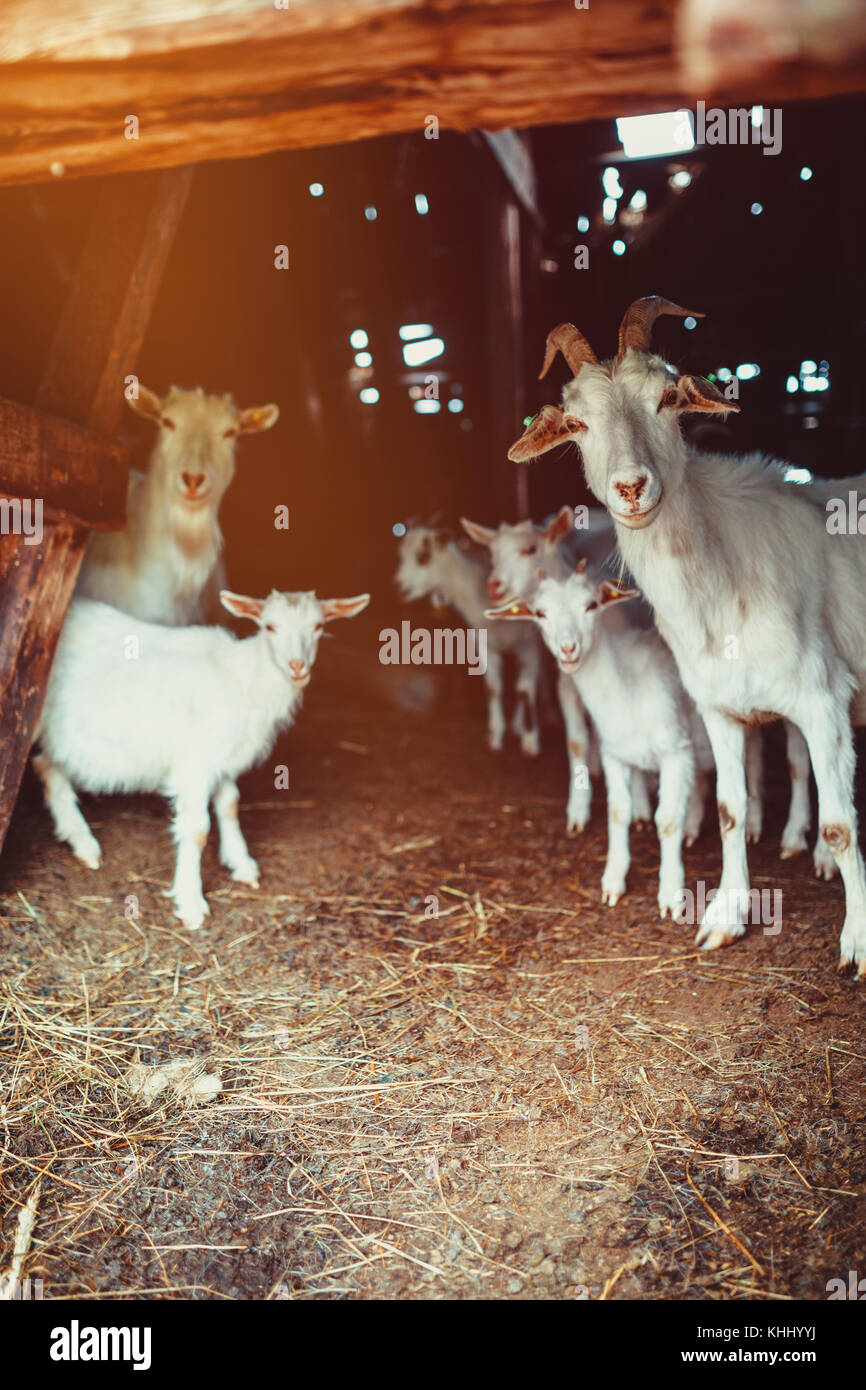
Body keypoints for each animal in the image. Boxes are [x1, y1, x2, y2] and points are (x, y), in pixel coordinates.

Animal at [34, 589, 369, 930]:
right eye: (270, 627)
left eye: (318, 626)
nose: (297, 666)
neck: (244, 679)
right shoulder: (195, 765)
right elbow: (197, 830)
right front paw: (191, 902)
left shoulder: (224, 759)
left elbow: (230, 804)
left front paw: (241, 863)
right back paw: (84, 840)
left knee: (46, 765)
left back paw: (80, 840)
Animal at [395, 524, 542, 754]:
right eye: (401, 556)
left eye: (423, 557)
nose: (397, 586)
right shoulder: (486, 644)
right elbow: (493, 689)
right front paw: (495, 734)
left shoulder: (528, 644)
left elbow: (526, 690)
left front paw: (530, 741)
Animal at [460, 506, 654, 831]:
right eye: (491, 553)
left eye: (529, 549)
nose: (494, 586)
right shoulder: (568, 685)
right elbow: (576, 742)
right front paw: (578, 809)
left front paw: (640, 806)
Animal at [488, 566, 711, 914]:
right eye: (540, 613)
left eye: (591, 605)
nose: (568, 648)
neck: (628, 691)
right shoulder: (613, 755)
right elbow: (618, 812)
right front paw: (613, 881)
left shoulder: (675, 751)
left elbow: (667, 820)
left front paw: (671, 893)